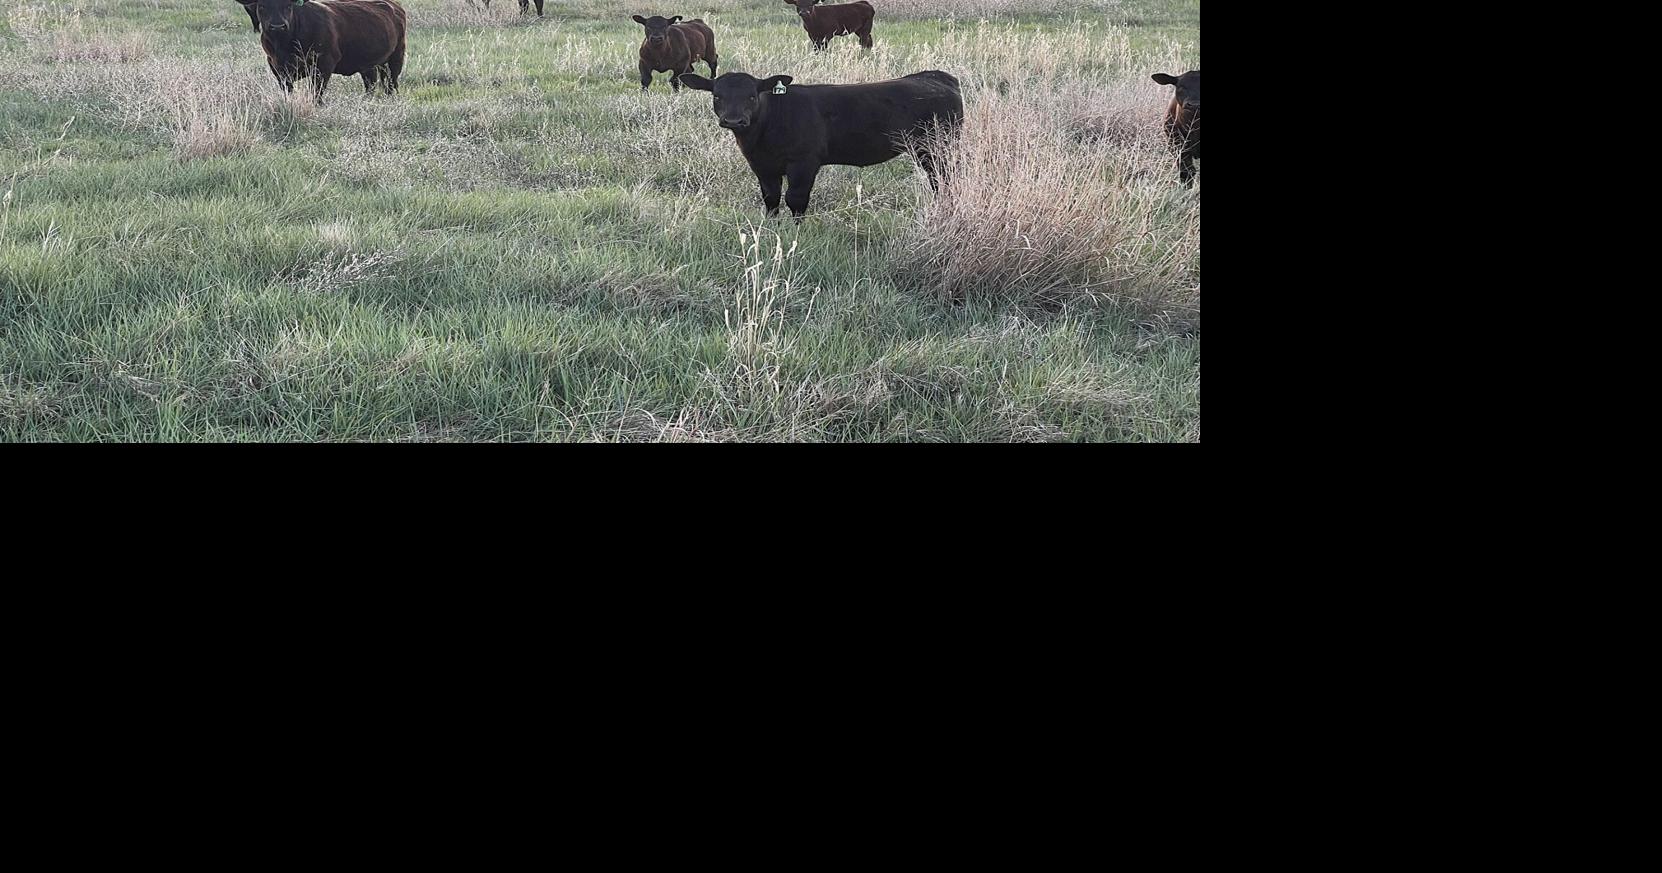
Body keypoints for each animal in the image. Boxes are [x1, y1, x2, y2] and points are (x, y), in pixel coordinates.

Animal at [254, 0, 407, 104]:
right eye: (261, 6)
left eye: (288, 6)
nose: (277, 26)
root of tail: (395, 6)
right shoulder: (276, 67)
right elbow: (288, 89)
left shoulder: (324, 64)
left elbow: (317, 90)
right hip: (370, 64)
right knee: (371, 82)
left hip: (397, 56)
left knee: (392, 82)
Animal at [680, 70, 963, 220]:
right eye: (717, 96)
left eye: (752, 96)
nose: (734, 120)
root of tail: (937, 78)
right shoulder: (762, 166)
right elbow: (771, 199)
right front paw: (772, 227)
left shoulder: (804, 162)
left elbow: (795, 199)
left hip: (941, 147)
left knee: (947, 180)